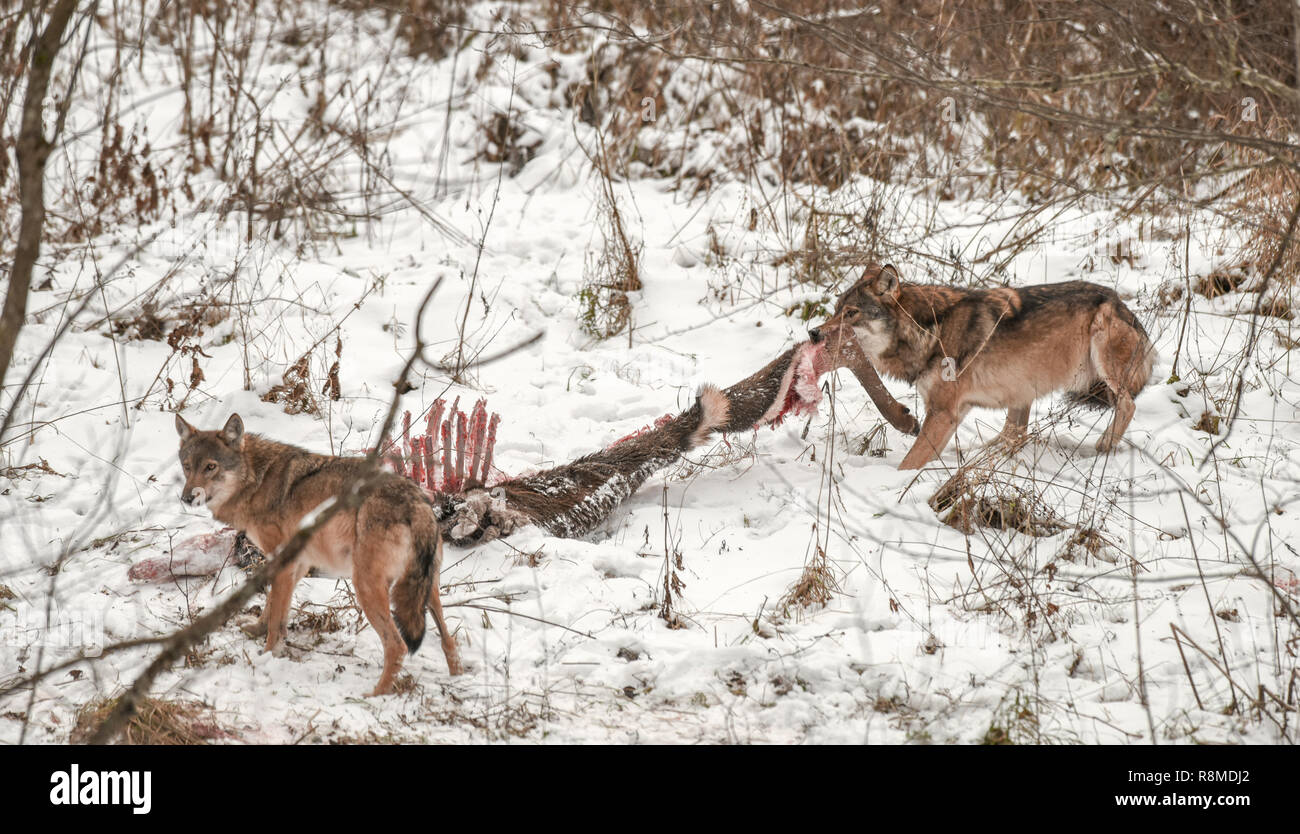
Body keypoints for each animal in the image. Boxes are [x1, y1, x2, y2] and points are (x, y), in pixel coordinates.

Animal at [174, 413, 463, 695]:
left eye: (211, 467)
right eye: (187, 466)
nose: (187, 498)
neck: (257, 479)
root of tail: (418, 504)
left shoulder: (284, 562)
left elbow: (276, 619)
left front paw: (266, 655)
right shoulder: (297, 563)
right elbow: (272, 607)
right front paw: (256, 629)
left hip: (367, 588)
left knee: (398, 645)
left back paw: (375, 695)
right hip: (425, 592)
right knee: (448, 640)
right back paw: (457, 678)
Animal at [810, 264, 1155, 470]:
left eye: (851, 313)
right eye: (836, 310)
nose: (813, 333)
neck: (931, 330)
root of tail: (1122, 305)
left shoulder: (943, 413)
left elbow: (908, 463)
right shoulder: (951, 412)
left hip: (1101, 348)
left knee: (1128, 404)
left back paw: (1105, 443)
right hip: (1023, 388)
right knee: (1013, 434)